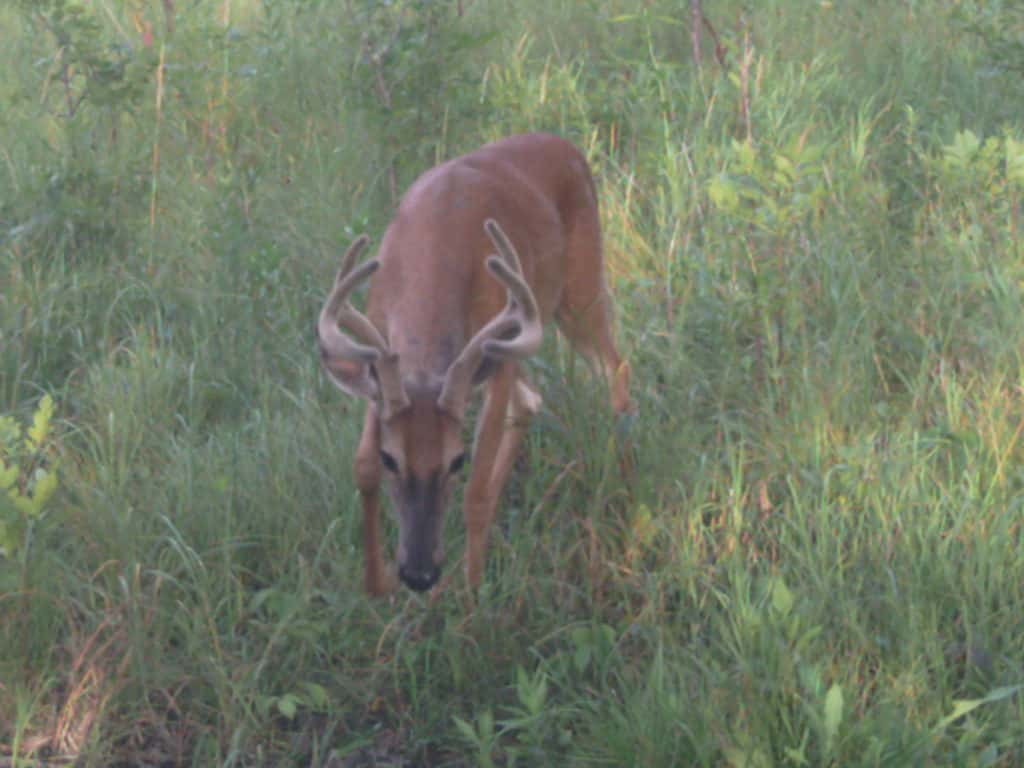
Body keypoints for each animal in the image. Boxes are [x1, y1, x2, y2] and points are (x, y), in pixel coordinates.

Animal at [317, 132, 632, 595]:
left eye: (456, 461)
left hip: (579, 288)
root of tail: (568, 146)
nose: (419, 575)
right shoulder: (379, 349)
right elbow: (362, 468)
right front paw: (376, 585)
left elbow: (477, 491)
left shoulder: (495, 351)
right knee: (532, 399)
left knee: (614, 367)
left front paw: (472, 594)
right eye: (391, 458)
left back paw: (621, 465)